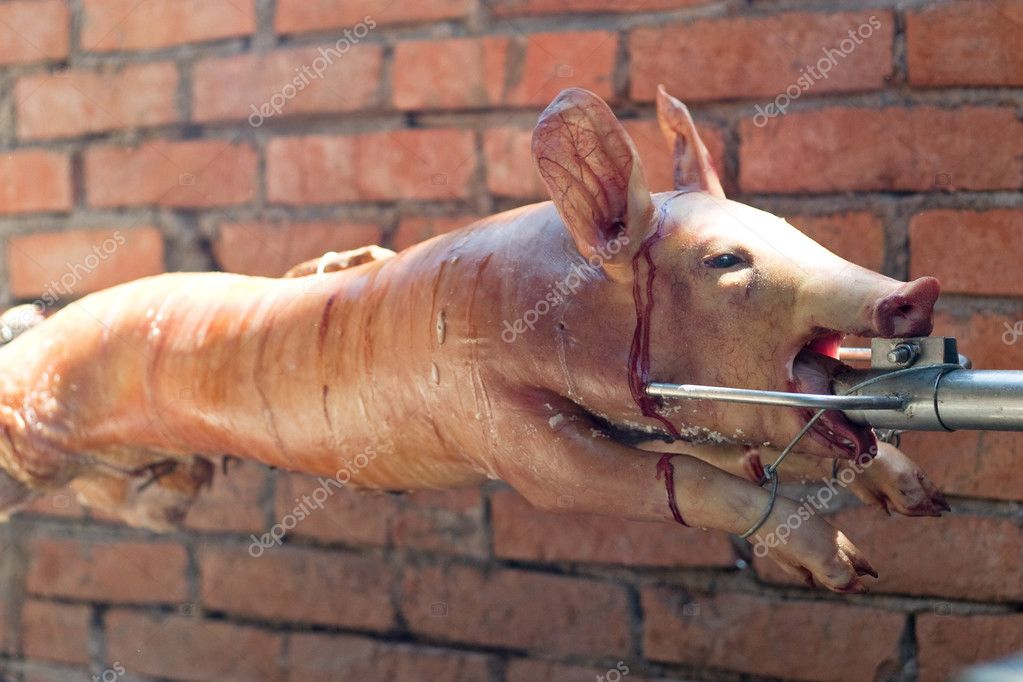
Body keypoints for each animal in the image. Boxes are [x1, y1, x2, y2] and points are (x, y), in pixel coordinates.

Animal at [0, 86, 948, 591]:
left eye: (783, 227)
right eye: (725, 260)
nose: (914, 294)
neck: (547, 303)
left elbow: (719, 451)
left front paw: (918, 497)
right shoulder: (491, 416)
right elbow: (641, 482)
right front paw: (844, 570)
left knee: (133, 494)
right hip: (37, 429)